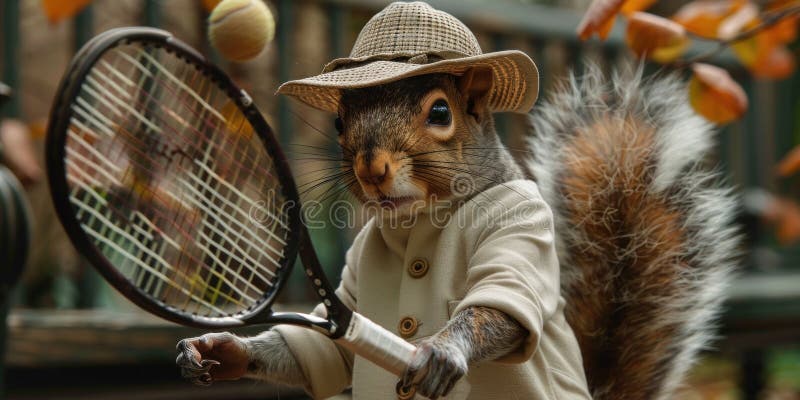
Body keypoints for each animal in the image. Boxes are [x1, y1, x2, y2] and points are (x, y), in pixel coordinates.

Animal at [176, 3, 740, 400]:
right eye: (338, 121)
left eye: (440, 112)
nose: (371, 169)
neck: (421, 221)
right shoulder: (351, 281)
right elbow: (323, 351)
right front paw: (222, 349)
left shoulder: (521, 224)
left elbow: (498, 305)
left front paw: (441, 352)